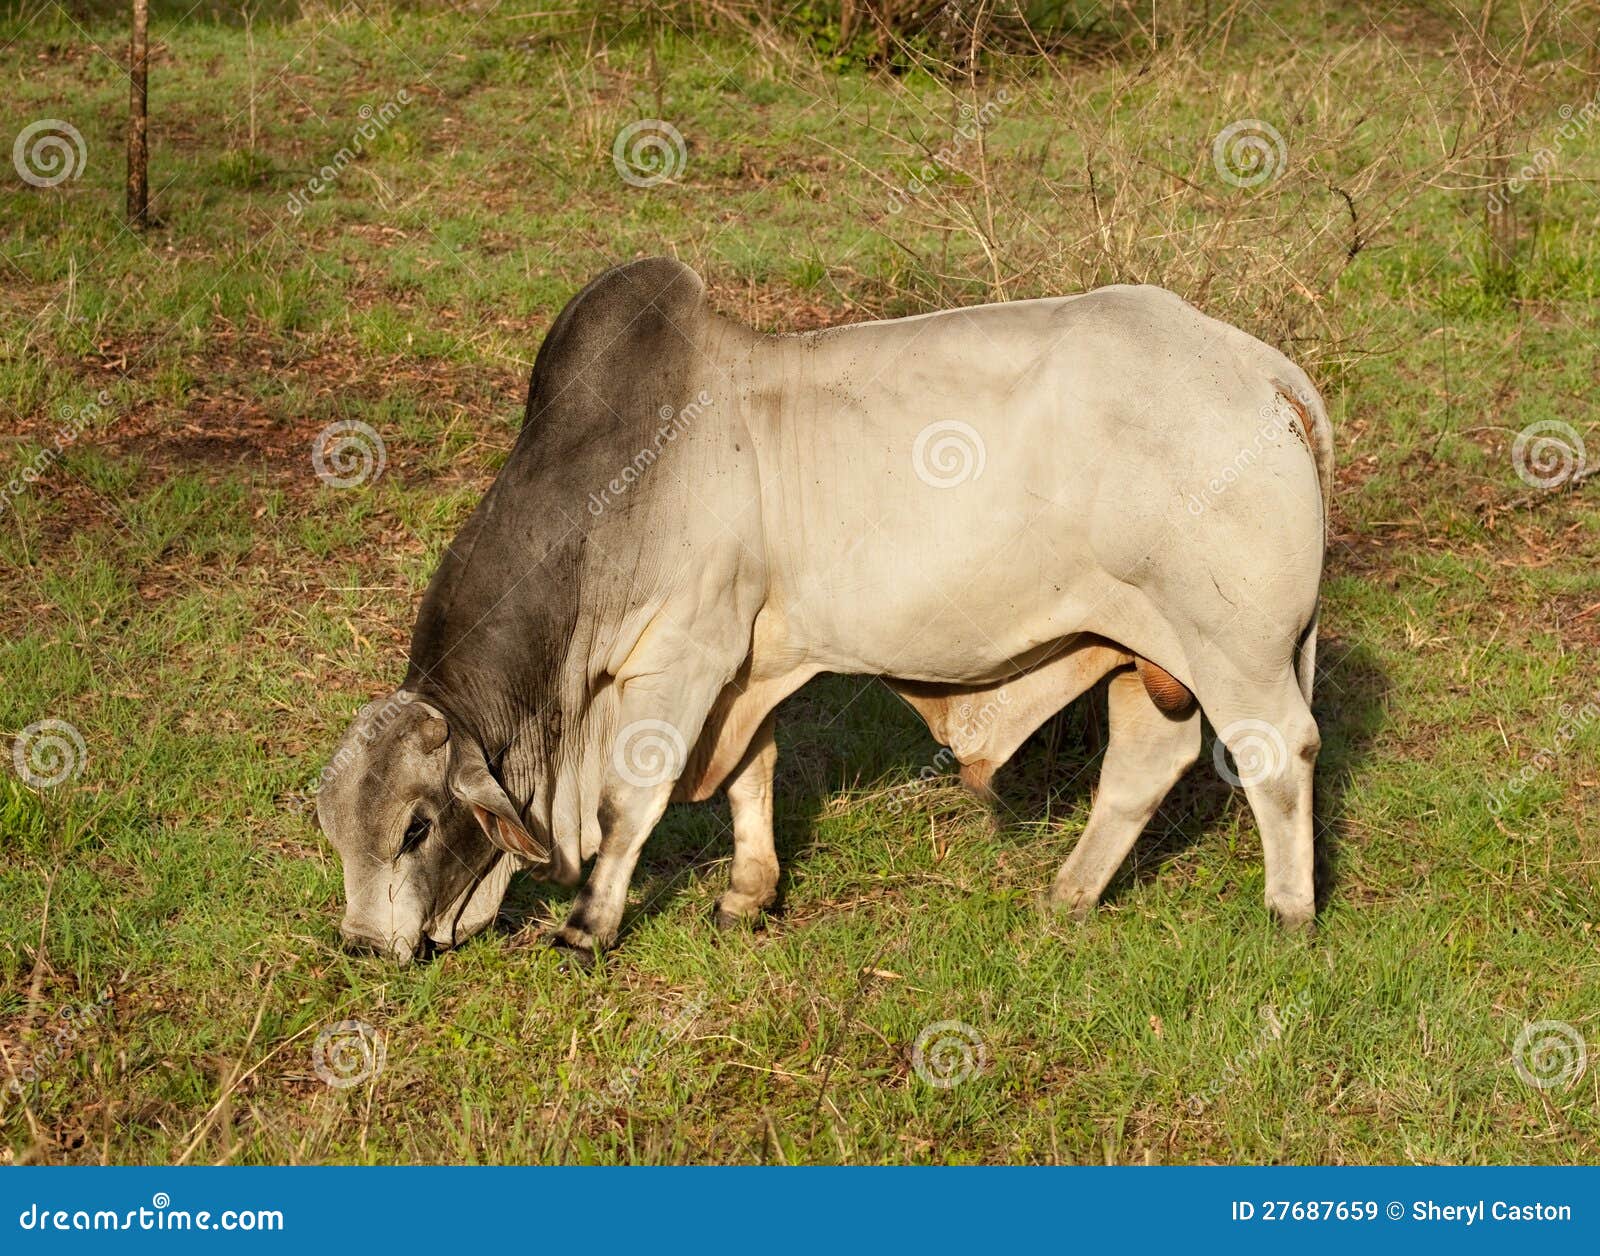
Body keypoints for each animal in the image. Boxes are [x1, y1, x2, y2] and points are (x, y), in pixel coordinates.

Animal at [317, 257, 1332, 963]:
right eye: (332, 829)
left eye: (414, 827)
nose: (364, 947)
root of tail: (1259, 367)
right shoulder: (745, 667)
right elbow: (750, 774)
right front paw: (747, 896)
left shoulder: (683, 656)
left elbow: (630, 799)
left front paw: (587, 926)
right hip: (1143, 649)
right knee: (1146, 762)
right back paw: (1067, 897)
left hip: (1235, 648)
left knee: (1279, 756)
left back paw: (1288, 915)